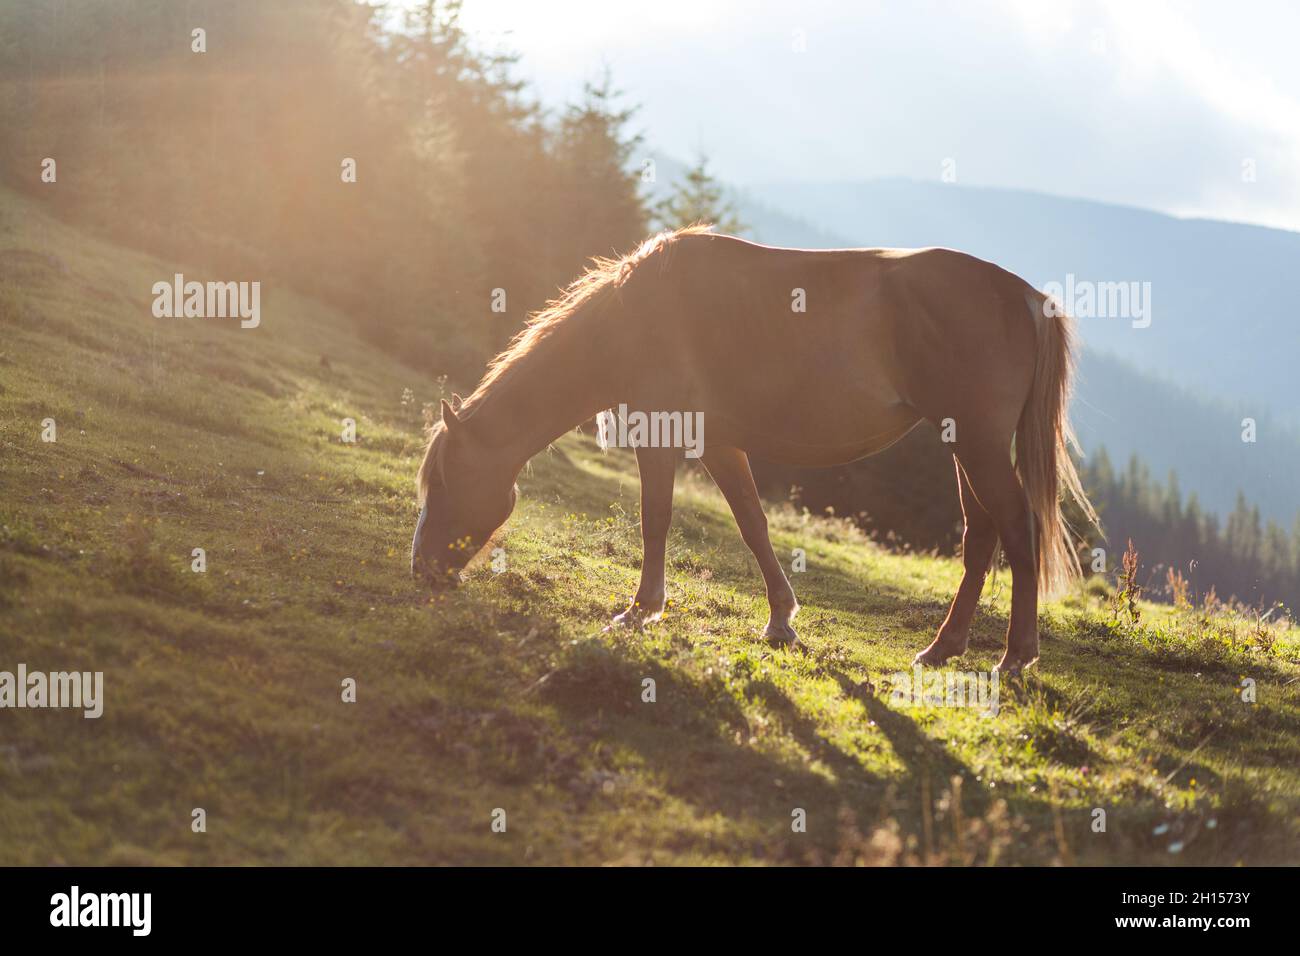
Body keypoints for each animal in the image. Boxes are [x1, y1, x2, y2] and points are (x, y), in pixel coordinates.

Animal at [412, 226, 1099, 674]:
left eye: (442, 482)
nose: (421, 571)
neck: (635, 318)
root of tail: (1026, 298)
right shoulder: (720, 442)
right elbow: (751, 522)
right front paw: (780, 620)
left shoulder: (664, 437)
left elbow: (657, 520)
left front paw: (640, 611)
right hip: (963, 447)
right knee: (980, 536)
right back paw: (943, 647)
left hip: (979, 447)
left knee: (1015, 528)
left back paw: (1015, 657)